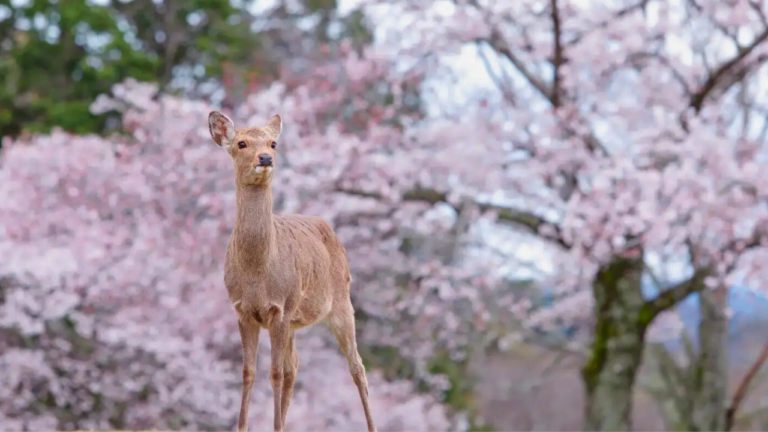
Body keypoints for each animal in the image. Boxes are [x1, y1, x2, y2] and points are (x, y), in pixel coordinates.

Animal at [206, 111, 377, 432]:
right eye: (241, 143)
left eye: (273, 143)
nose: (265, 158)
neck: (256, 272)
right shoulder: (242, 309)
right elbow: (249, 372)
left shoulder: (281, 306)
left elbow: (273, 372)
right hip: (297, 319)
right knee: (294, 366)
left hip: (340, 299)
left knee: (357, 366)